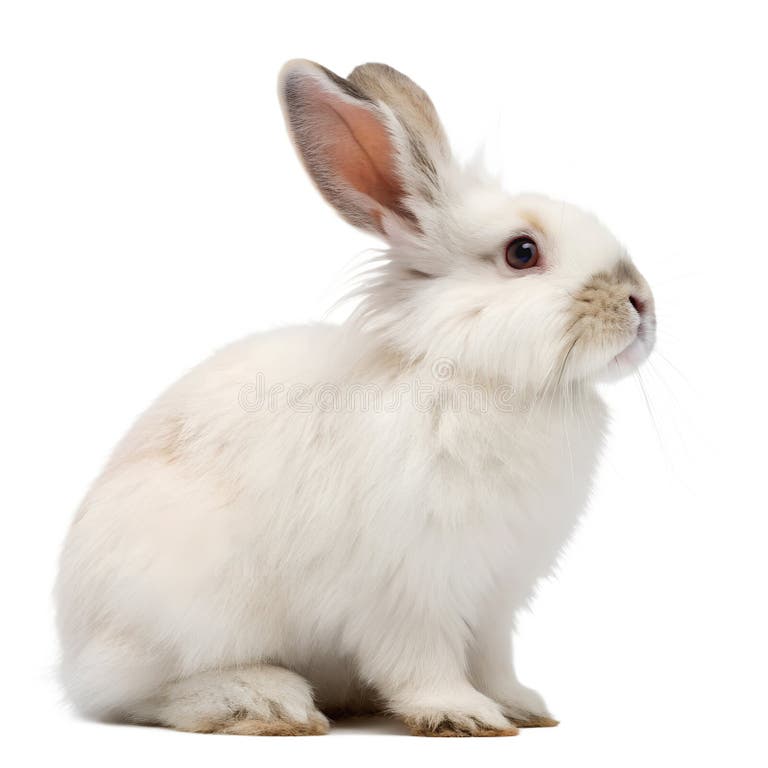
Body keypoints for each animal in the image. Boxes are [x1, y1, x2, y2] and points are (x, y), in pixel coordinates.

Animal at [55, 59, 656, 738]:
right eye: (522, 252)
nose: (641, 303)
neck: (478, 377)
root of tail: (74, 646)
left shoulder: (496, 594)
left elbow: (493, 659)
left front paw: (522, 708)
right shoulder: (411, 589)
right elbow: (422, 662)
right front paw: (462, 715)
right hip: (181, 607)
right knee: (145, 694)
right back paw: (264, 702)